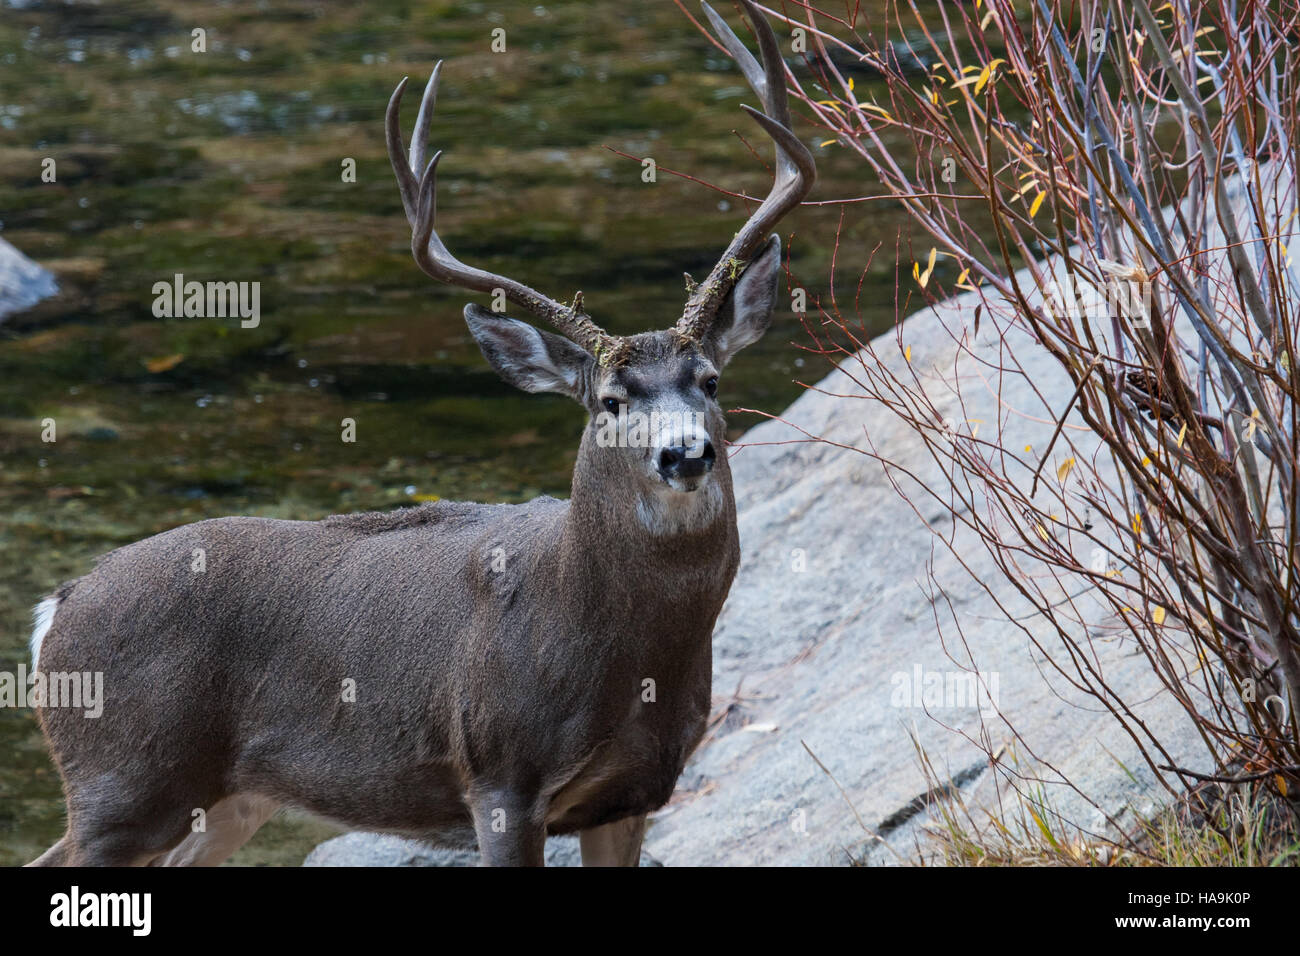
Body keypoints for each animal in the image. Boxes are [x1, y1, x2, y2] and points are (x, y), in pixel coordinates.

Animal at [27, 0, 814, 867]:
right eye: (609, 400)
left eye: (710, 382)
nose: (684, 453)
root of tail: (54, 611)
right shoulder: (500, 775)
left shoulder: (633, 793)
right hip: (120, 779)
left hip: (226, 798)